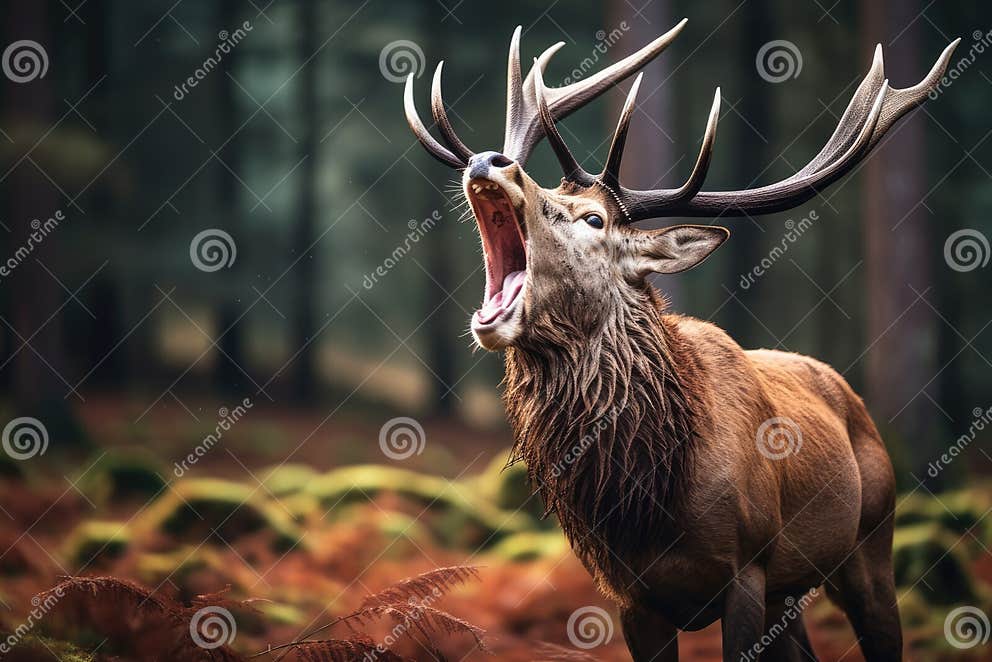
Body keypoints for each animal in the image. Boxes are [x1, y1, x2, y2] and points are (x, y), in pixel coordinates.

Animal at [404, 19, 958, 662]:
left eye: (594, 218)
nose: (490, 161)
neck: (653, 500)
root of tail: (857, 402)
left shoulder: (747, 568)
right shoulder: (630, 595)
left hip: (871, 543)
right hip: (791, 594)